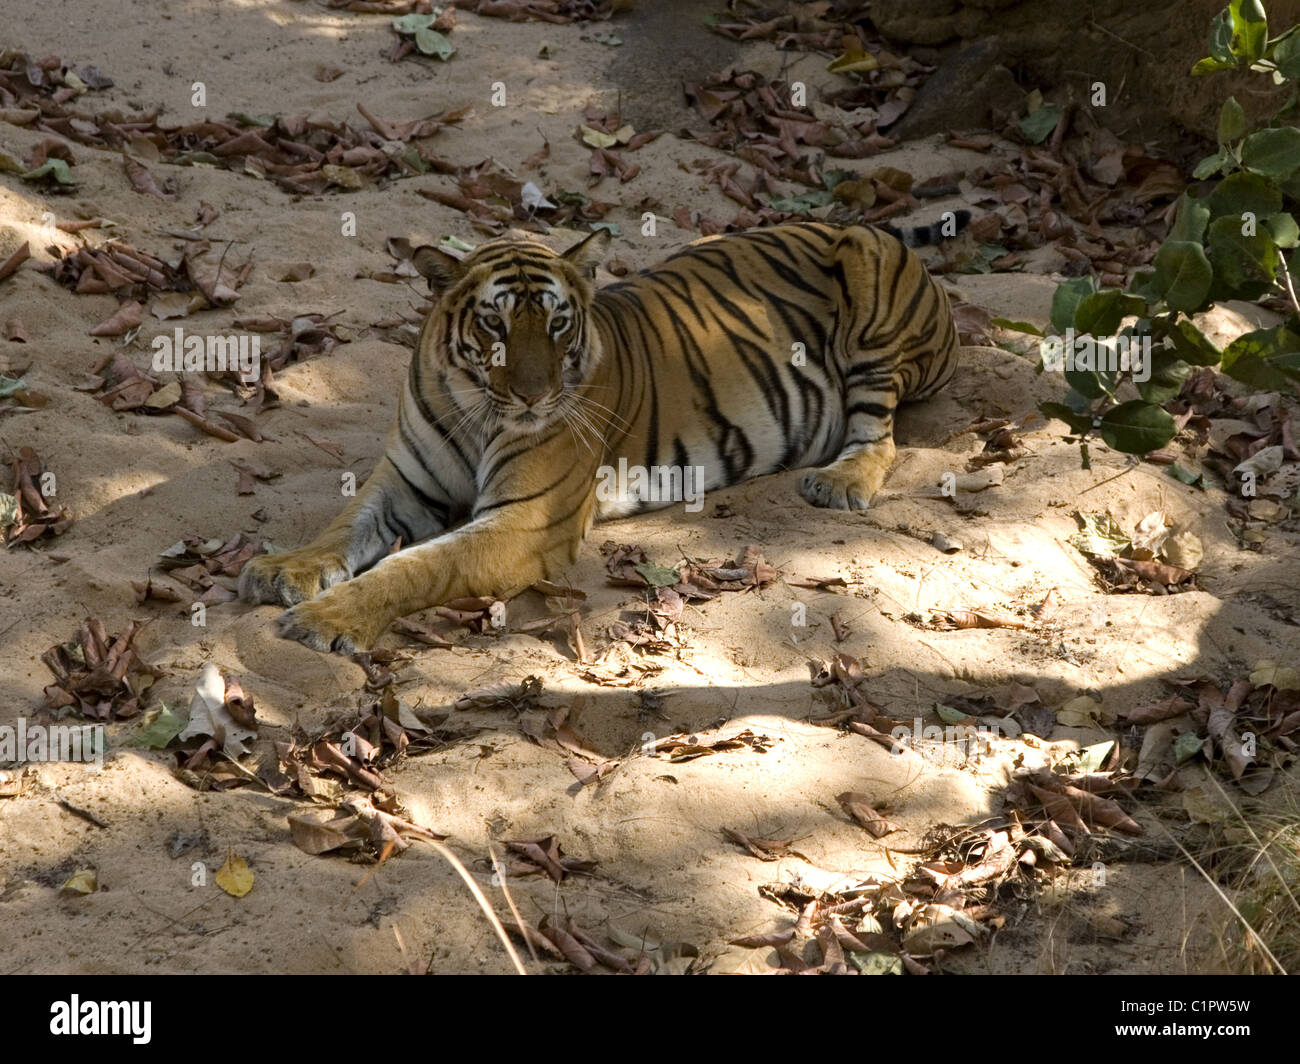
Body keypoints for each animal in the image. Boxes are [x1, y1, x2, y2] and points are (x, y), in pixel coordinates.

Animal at [239, 219, 964, 653]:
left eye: (558, 324)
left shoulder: (524, 523)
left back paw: (839, 481)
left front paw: (327, 620)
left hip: (870, 291)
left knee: (880, 437)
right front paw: (281, 570)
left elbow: (414, 565)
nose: (533, 395)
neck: (477, 406)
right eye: (495, 325)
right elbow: (342, 528)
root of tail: (858, 221)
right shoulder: (402, 483)